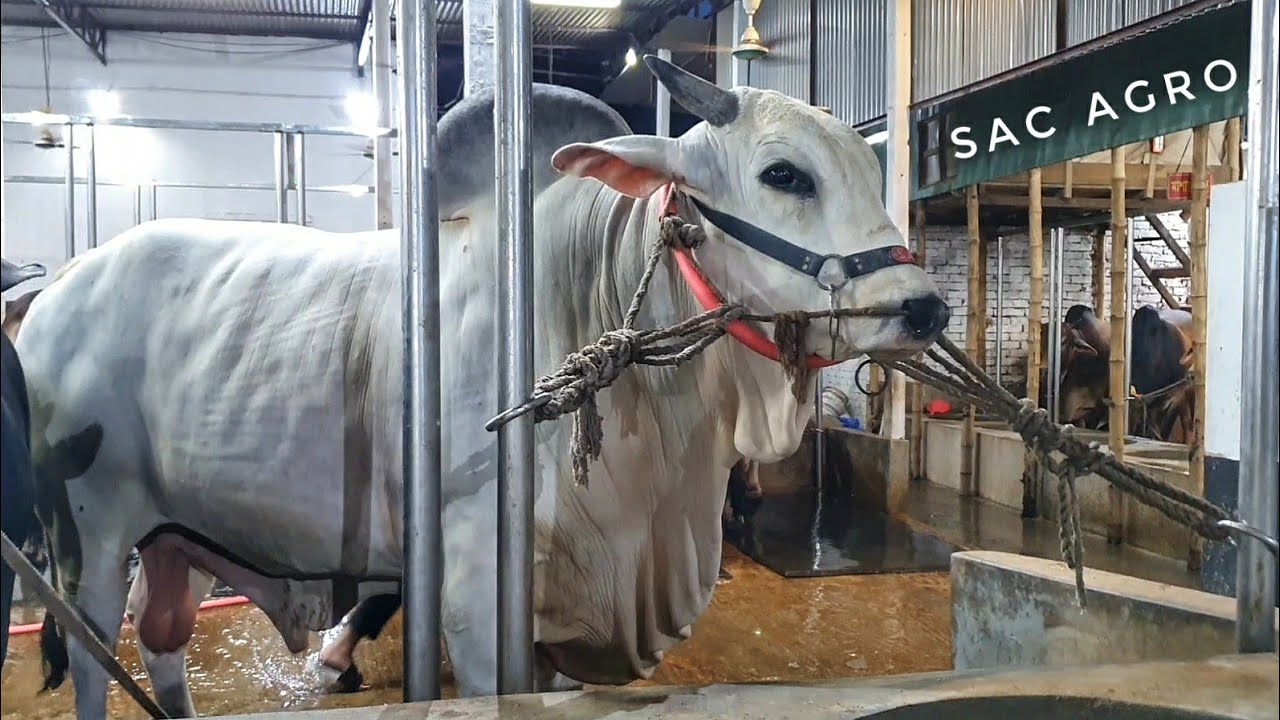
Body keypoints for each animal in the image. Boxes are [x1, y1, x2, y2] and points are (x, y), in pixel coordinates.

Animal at [18, 55, 948, 720]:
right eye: (784, 175)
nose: (925, 306)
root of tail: (53, 294)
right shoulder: (475, 595)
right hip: (88, 537)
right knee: (97, 660)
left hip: (175, 537)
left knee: (162, 641)